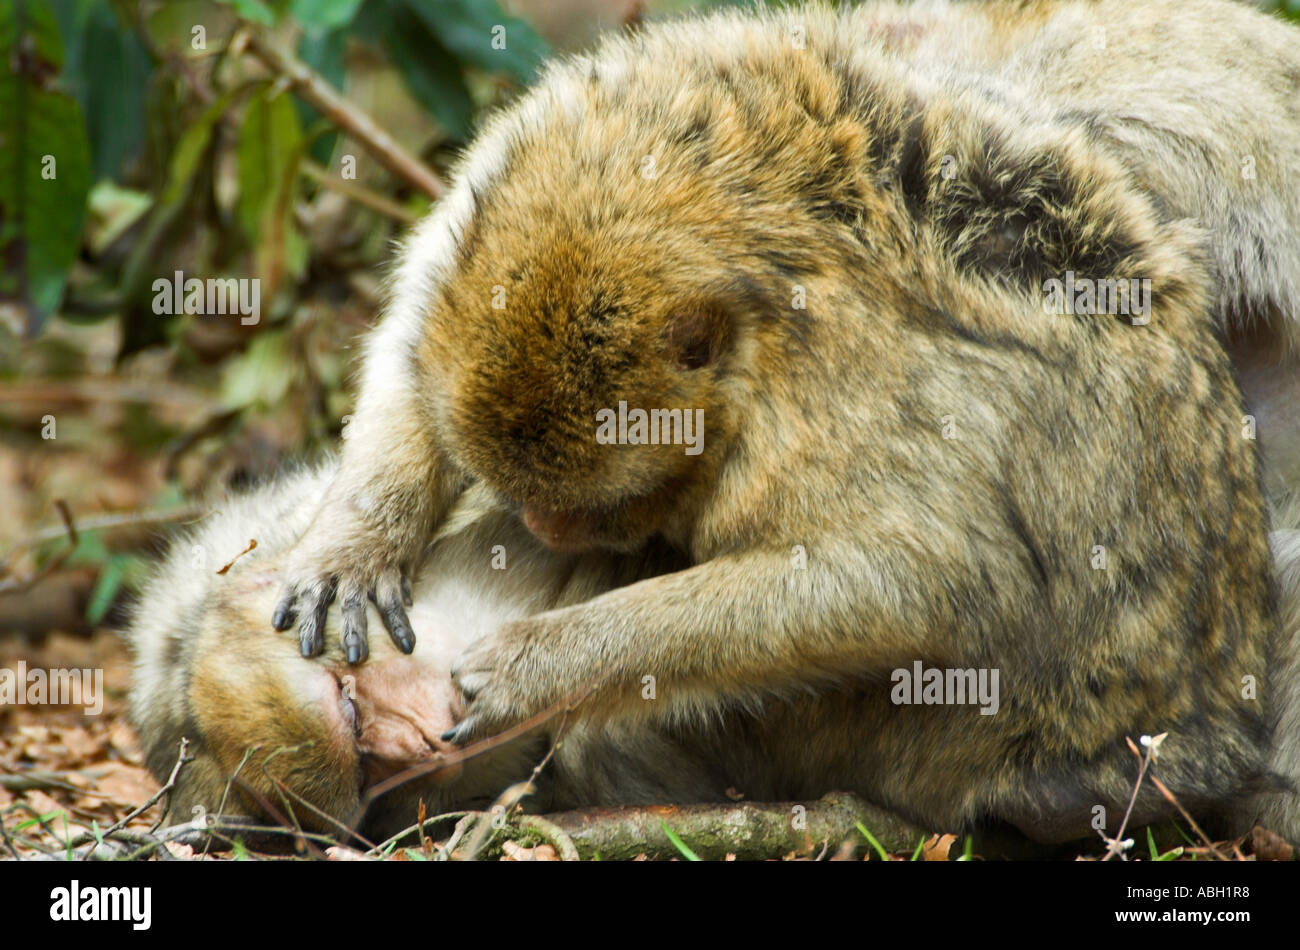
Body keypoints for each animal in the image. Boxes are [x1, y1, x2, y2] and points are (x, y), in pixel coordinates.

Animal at [139, 0, 1300, 844]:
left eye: (588, 503)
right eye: (368, 754)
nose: (409, 737)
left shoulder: (831, 400)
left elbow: (924, 580)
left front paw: (550, 664)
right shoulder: (544, 144)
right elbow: (424, 301)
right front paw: (356, 539)